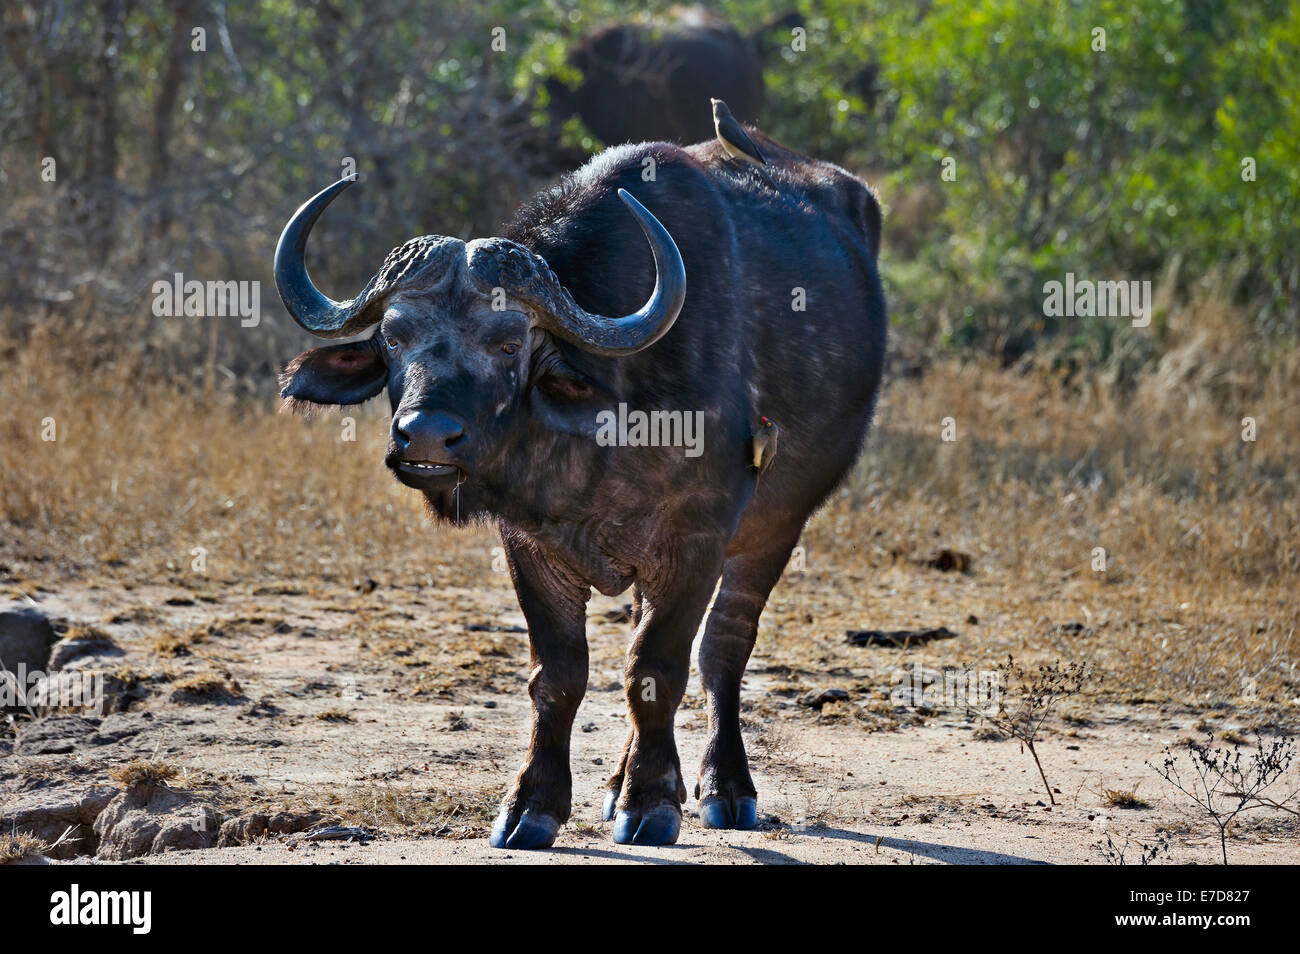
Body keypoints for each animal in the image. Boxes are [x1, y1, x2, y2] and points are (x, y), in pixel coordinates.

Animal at [274, 119, 885, 848]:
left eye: (510, 342)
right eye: (395, 337)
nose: (424, 437)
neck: (602, 435)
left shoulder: (697, 540)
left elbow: (656, 669)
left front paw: (651, 803)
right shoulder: (529, 546)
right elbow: (560, 676)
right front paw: (533, 804)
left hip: (777, 526)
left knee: (723, 651)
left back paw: (723, 787)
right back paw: (620, 783)